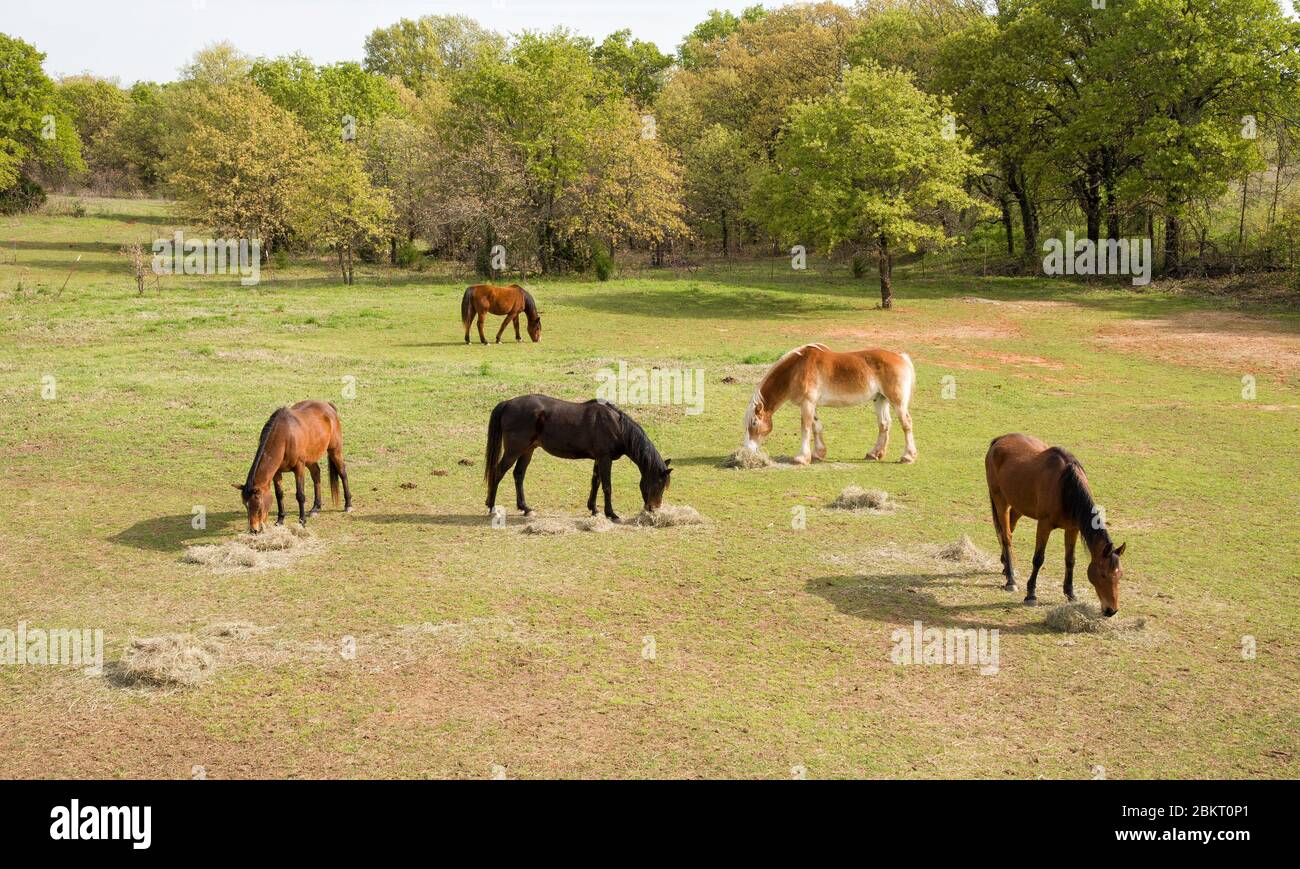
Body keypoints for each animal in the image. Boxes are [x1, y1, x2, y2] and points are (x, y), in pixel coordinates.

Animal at [234, 400, 353, 533]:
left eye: (258, 504)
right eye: (245, 505)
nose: (254, 530)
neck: (285, 437)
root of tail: (327, 405)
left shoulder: (299, 467)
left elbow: (300, 495)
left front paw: (302, 521)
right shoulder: (277, 472)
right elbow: (279, 494)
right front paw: (280, 520)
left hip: (335, 451)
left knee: (342, 473)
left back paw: (348, 504)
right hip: (311, 458)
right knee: (316, 474)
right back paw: (316, 507)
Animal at [484, 395, 672, 523]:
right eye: (658, 483)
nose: (653, 508)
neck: (616, 427)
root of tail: (508, 403)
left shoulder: (598, 458)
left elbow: (595, 482)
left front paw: (594, 509)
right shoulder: (605, 458)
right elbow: (607, 486)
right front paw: (611, 514)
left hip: (527, 450)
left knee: (518, 475)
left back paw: (525, 508)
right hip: (514, 450)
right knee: (498, 473)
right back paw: (492, 507)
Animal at [743, 343, 916, 464]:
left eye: (754, 422)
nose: (746, 450)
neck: (796, 369)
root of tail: (901, 357)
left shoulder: (807, 404)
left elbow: (805, 428)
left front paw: (801, 458)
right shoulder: (811, 405)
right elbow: (816, 427)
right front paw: (818, 454)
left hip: (897, 402)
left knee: (906, 424)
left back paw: (908, 456)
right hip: (880, 399)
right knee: (884, 424)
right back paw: (874, 454)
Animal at [984, 434, 1126, 614]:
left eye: (1120, 575)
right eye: (1103, 574)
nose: (1111, 610)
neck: (1065, 486)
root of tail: (999, 439)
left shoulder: (1072, 528)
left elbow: (1070, 560)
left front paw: (1070, 593)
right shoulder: (1044, 525)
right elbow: (1038, 559)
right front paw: (1031, 594)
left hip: (1018, 506)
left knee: (1008, 529)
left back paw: (1006, 566)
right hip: (1000, 500)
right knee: (1006, 536)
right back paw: (1011, 579)